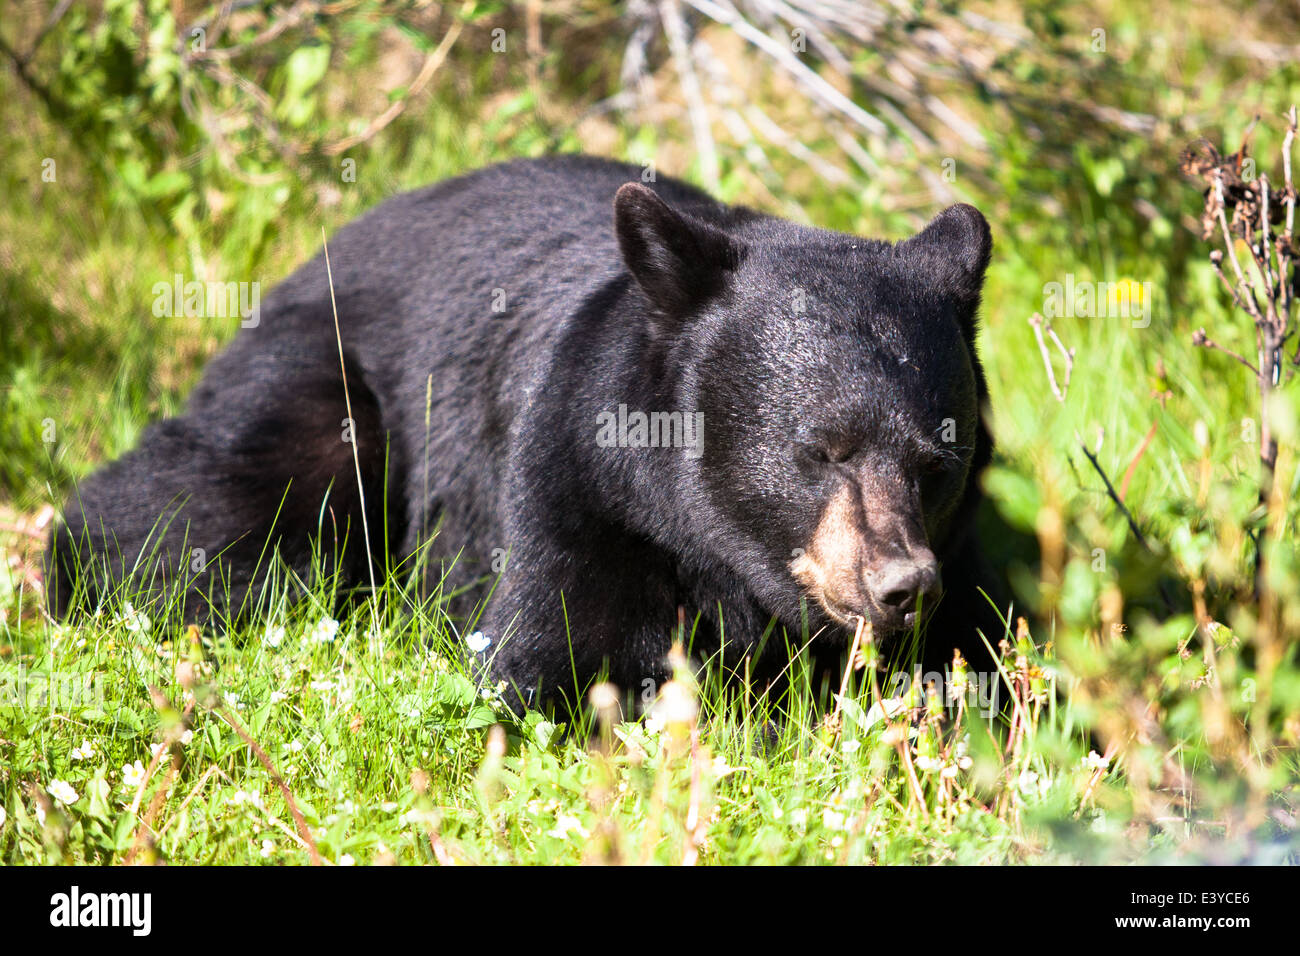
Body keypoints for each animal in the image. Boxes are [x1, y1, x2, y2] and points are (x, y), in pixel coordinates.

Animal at [46, 155, 1000, 712]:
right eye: (821, 450)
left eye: (937, 464)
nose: (900, 585)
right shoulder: (582, 483)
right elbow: (559, 652)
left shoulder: (965, 558)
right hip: (323, 374)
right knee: (200, 505)